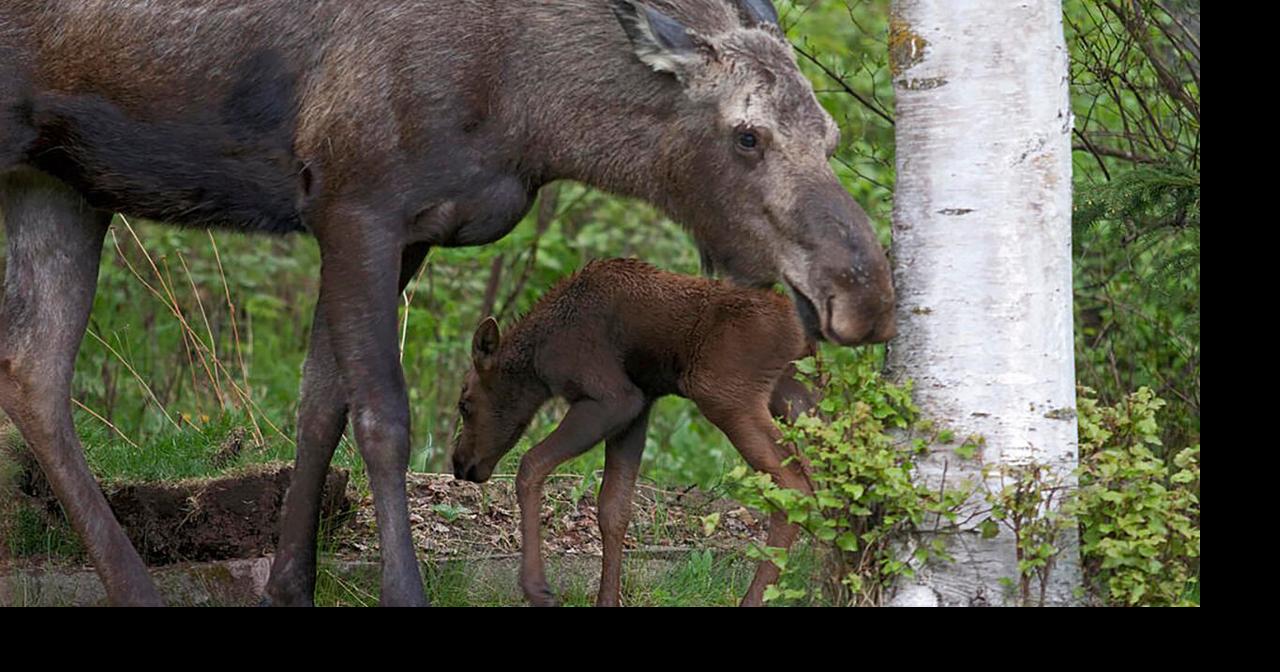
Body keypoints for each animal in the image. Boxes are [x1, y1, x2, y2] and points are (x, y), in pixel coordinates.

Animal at [451, 258, 824, 607]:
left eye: (465, 404)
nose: (460, 462)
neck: (539, 362)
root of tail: (806, 337)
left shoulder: (614, 399)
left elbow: (530, 465)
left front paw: (537, 588)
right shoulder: (640, 407)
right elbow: (613, 509)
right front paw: (606, 599)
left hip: (723, 392)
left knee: (795, 485)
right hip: (794, 394)